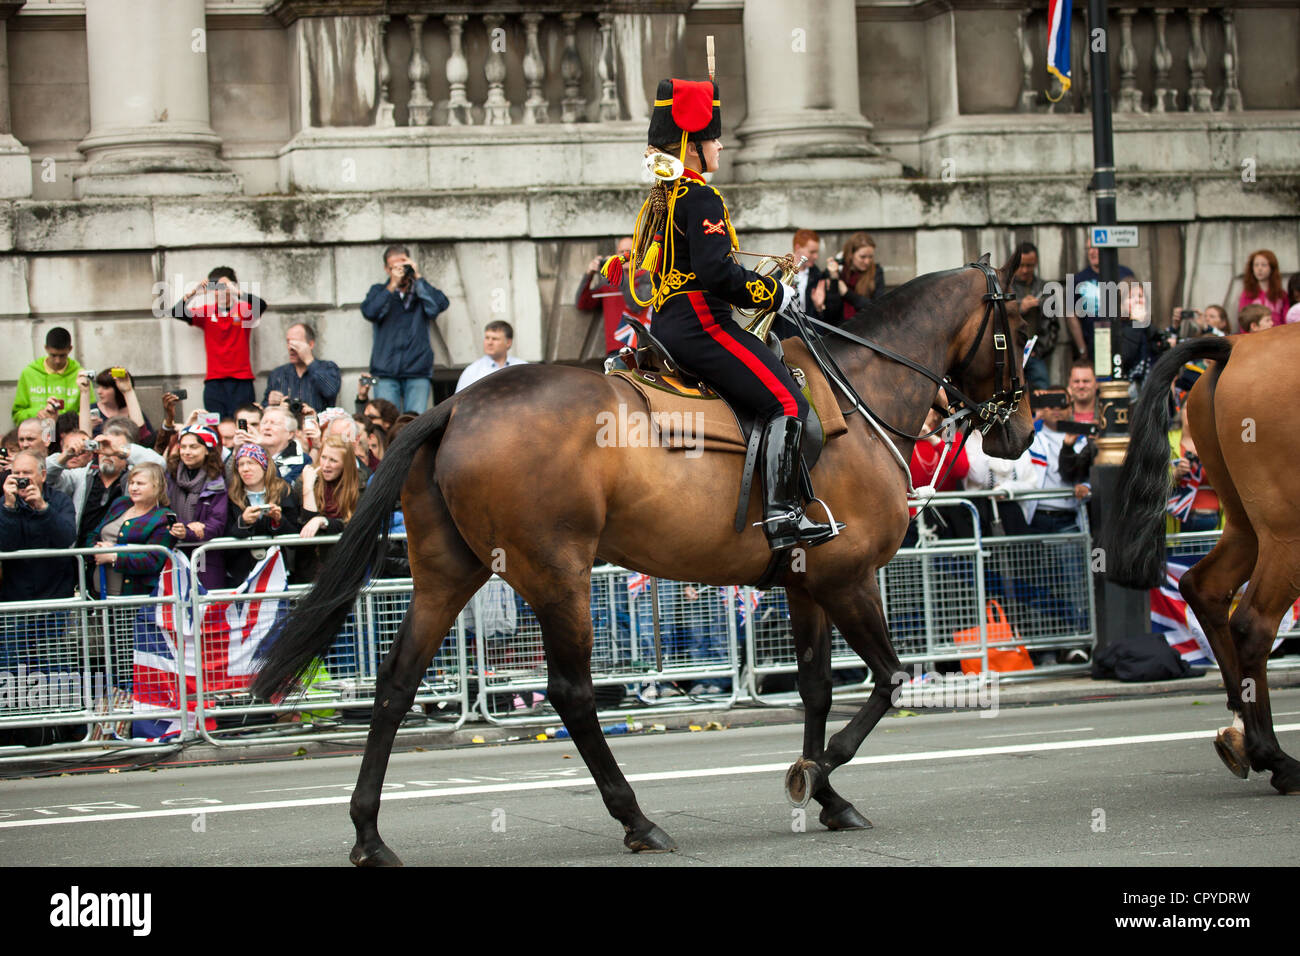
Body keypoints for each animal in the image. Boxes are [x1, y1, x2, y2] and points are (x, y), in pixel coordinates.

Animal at [252, 253, 1036, 865]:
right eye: (1026, 331)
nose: (1020, 434)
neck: (857, 398)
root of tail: (455, 406)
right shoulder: (849, 578)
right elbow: (889, 678)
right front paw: (819, 773)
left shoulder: (805, 583)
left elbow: (815, 689)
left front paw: (826, 790)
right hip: (558, 574)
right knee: (572, 693)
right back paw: (636, 818)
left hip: (446, 575)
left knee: (395, 685)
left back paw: (369, 835)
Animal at [1102, 325, 1300, 795]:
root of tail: (1237, 345)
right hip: (1285, 532)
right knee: (1252, 625)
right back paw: (1276, 758)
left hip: (1247, 526)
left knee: (1204, 588)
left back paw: (1243, 738)